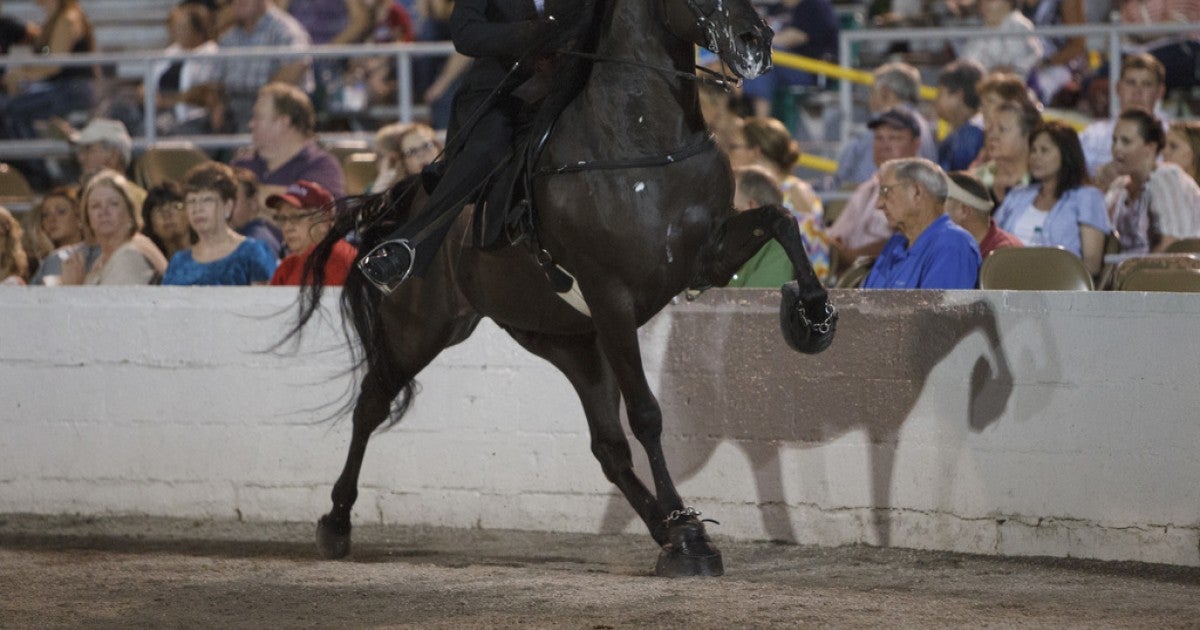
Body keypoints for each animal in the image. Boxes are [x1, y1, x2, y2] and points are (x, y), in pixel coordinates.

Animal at [293, 0, 838, 577]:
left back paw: (667, 528)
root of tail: (406, 202)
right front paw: (688, 537)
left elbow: (781, 219)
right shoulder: (611, 295)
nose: (756, 40)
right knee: (371, 404)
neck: (643, 145)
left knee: (608, 448)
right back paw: (336, 522)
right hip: (418, 330)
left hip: (569, 342)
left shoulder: (703, 260)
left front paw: (812, 317)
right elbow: (647, 414)